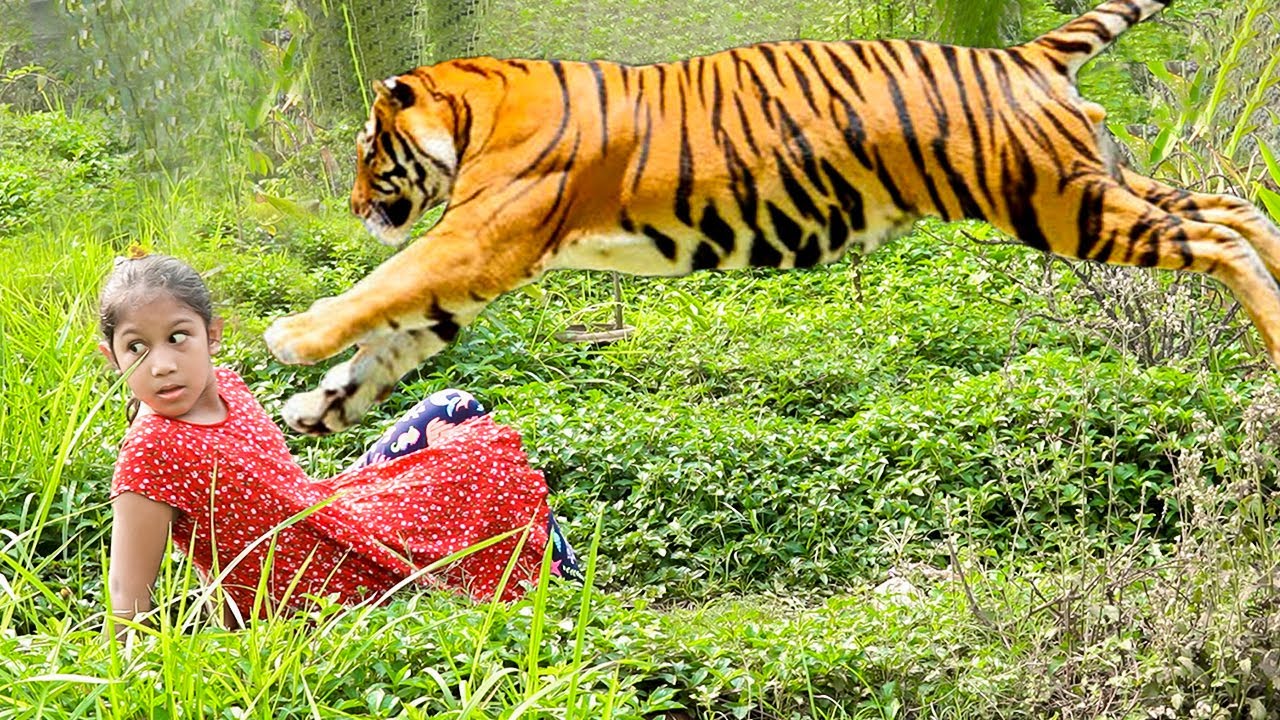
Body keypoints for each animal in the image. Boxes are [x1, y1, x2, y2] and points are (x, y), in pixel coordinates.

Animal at [264, 0, 1280, 436]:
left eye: (368, 150)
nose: (355, 205)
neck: (475, 113)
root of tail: (1024, 55)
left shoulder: (474, 240)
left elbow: (380, 288)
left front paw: (290, 340)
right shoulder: (468, 277)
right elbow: (387, 347)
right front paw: (318, 408)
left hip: (1061, 204)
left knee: (1217, 237)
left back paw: (1272, 341)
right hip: (1101, 184)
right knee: (1236, 208)